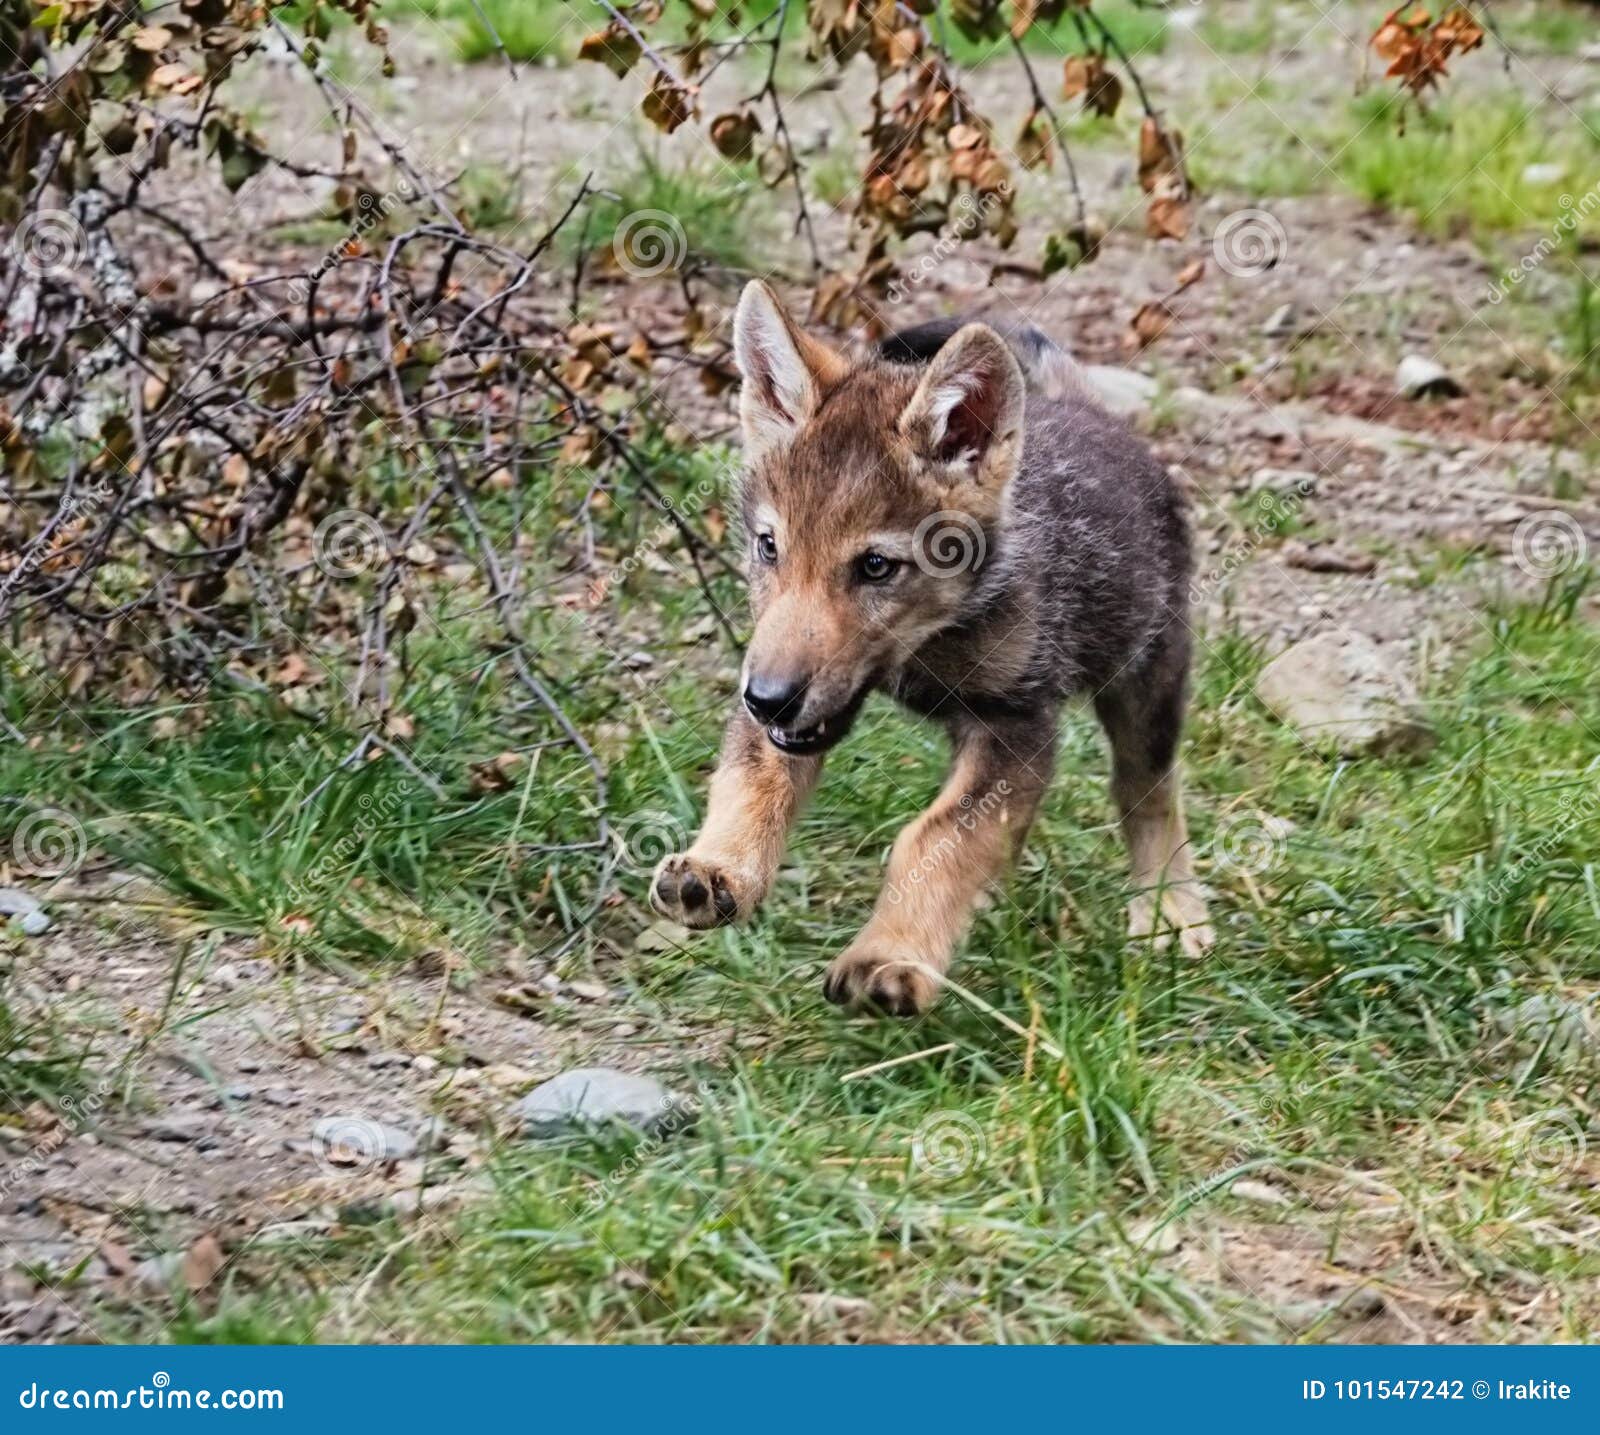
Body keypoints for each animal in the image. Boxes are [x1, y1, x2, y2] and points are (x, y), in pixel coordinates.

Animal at [650, 281, 1213, 1015]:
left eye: (876, 566)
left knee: (1148, 790)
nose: (769, 700)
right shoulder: (778, 692)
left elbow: (936, 836)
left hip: (1147, 673)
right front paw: (720, 867)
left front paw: (890, 955)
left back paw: (1171, 913)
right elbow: (755, 778)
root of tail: (1087, 407)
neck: (929, 647)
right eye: (769, 547)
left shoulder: (1014, 723)